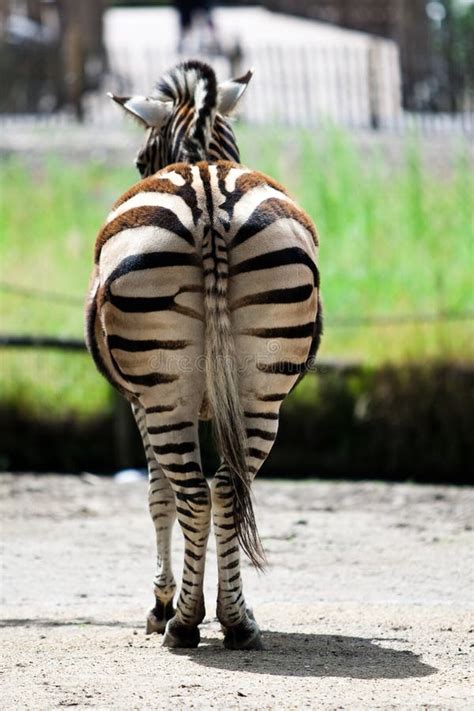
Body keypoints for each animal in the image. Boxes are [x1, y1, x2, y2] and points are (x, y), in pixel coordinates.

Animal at [86, 60, 322, 650]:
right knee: (229, 489)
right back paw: (237, 621)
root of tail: (208, 191)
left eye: (140, 161)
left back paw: (184, 621)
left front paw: (159, 603)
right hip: (263, 390)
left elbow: (158, 498)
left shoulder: (138, 404)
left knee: (191, 494)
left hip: (165, 396)